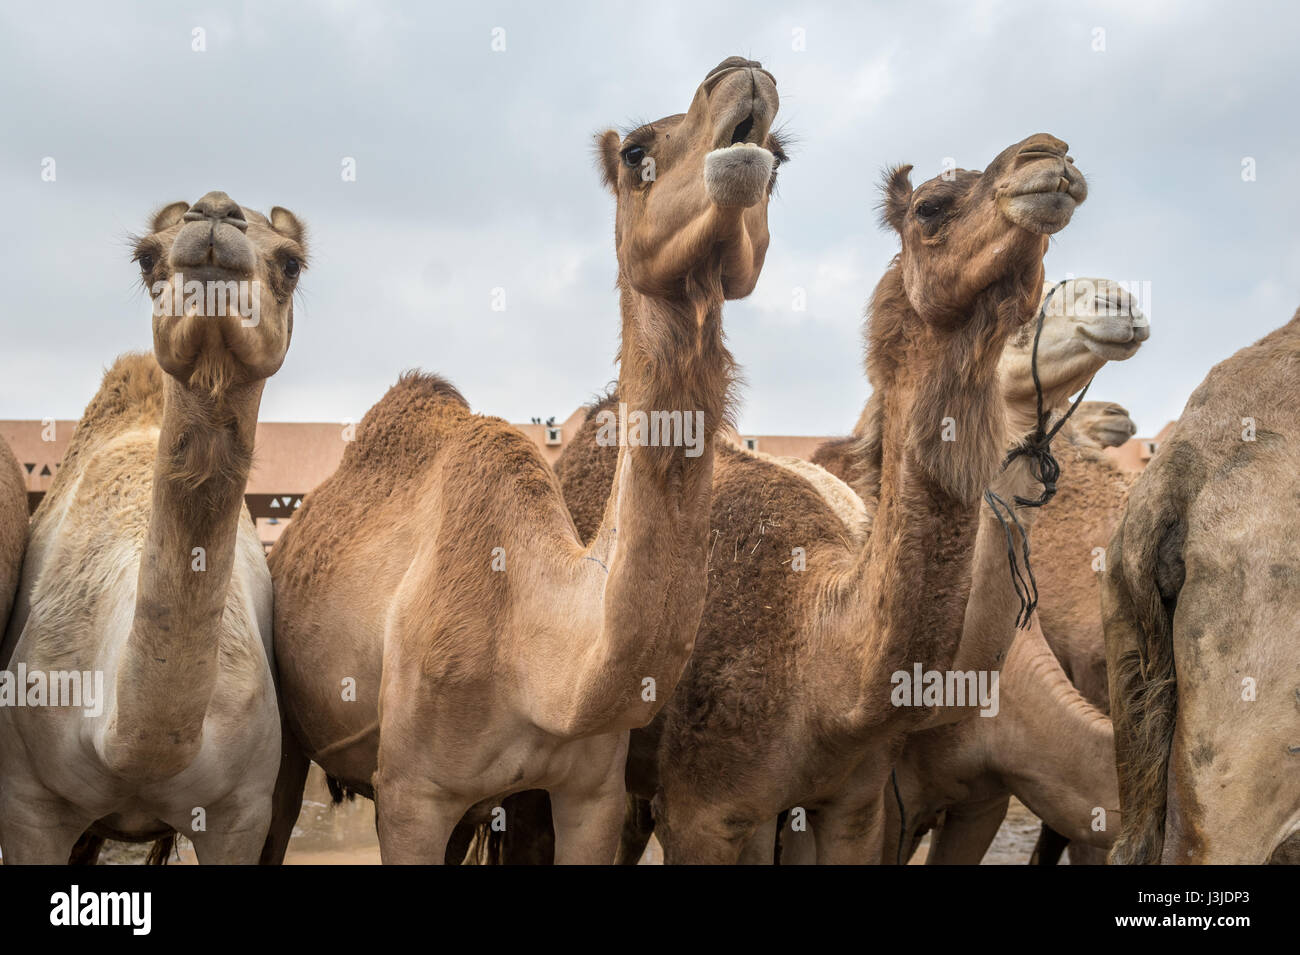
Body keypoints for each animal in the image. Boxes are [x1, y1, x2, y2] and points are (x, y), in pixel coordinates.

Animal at [265, 57, 786, 864]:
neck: (540, 657)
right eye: (635, 152)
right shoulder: (413, 793)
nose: (745, 77)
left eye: (782, 162)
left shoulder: (591, 794)